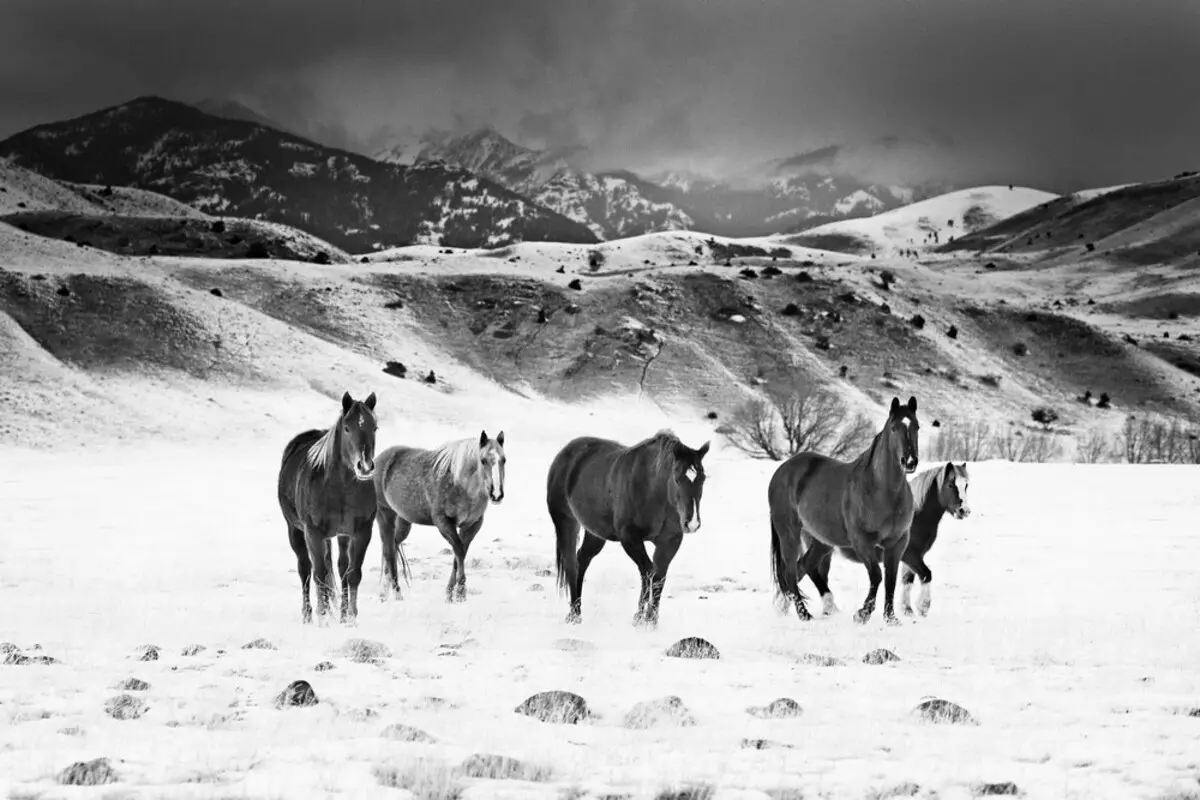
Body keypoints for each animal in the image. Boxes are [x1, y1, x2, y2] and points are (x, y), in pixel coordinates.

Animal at [277, 391, 379, 628]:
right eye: (347, 428)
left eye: (375, 427)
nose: (365, 467)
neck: (339, 487)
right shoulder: (313, 533)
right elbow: (319, 575)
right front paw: (322, 617)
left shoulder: (361, 532)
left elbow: (352, 574)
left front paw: (350, 617)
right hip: (295, 531)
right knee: (305, 570)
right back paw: (308, 615)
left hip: (340, 536)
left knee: (340, 569)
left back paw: (339, 614)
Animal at [374, 431, 506, 599]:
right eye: (483, 461)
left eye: (504, 460)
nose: (496, 495)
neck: (460, 485)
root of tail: (379, 460)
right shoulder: (444, 522)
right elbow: (459, 550)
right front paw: (460, 593)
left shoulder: (472, 525)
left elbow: (460, 553)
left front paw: (450, 594)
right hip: (385, 515)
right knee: (389, 551)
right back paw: (397, 595)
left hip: (404, 521)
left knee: (392, 545)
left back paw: (384, 593)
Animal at [547, 429, 705, 628]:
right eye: (677, 479)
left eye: (703, 479)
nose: (692, 523)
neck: (654, 491)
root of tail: (564, 454)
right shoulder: (630, 539)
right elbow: (647, 572)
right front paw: (640, 618)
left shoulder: (670, 541)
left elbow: (658, 577)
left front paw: (651, 621)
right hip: (565, 522)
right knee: (570, 564)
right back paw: (574, 615)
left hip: (595, 533)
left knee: (581, 560)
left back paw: (576, 611)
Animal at [763, 398, 921, 628]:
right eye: (894, 428)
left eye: (916, 427)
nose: (909, 462)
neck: (881, 490)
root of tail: (781, 471)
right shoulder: (862, 542)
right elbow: (876, 576)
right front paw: (863, 614)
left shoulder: (897, 543)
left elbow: (890, 580)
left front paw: (891, 618)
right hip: (789, 534)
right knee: (791, 572)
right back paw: (804, 614)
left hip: (822, 540)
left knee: (805, 566)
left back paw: (801, 607)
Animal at [801, 460, 969, 618]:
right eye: (950, 484)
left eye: (966, 485)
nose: (964, 511)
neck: (914, 517)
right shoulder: (910, 555)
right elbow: (926, 575)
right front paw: (923, 607)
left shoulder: (910, 557)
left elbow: (908, 581)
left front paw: (907, 610)